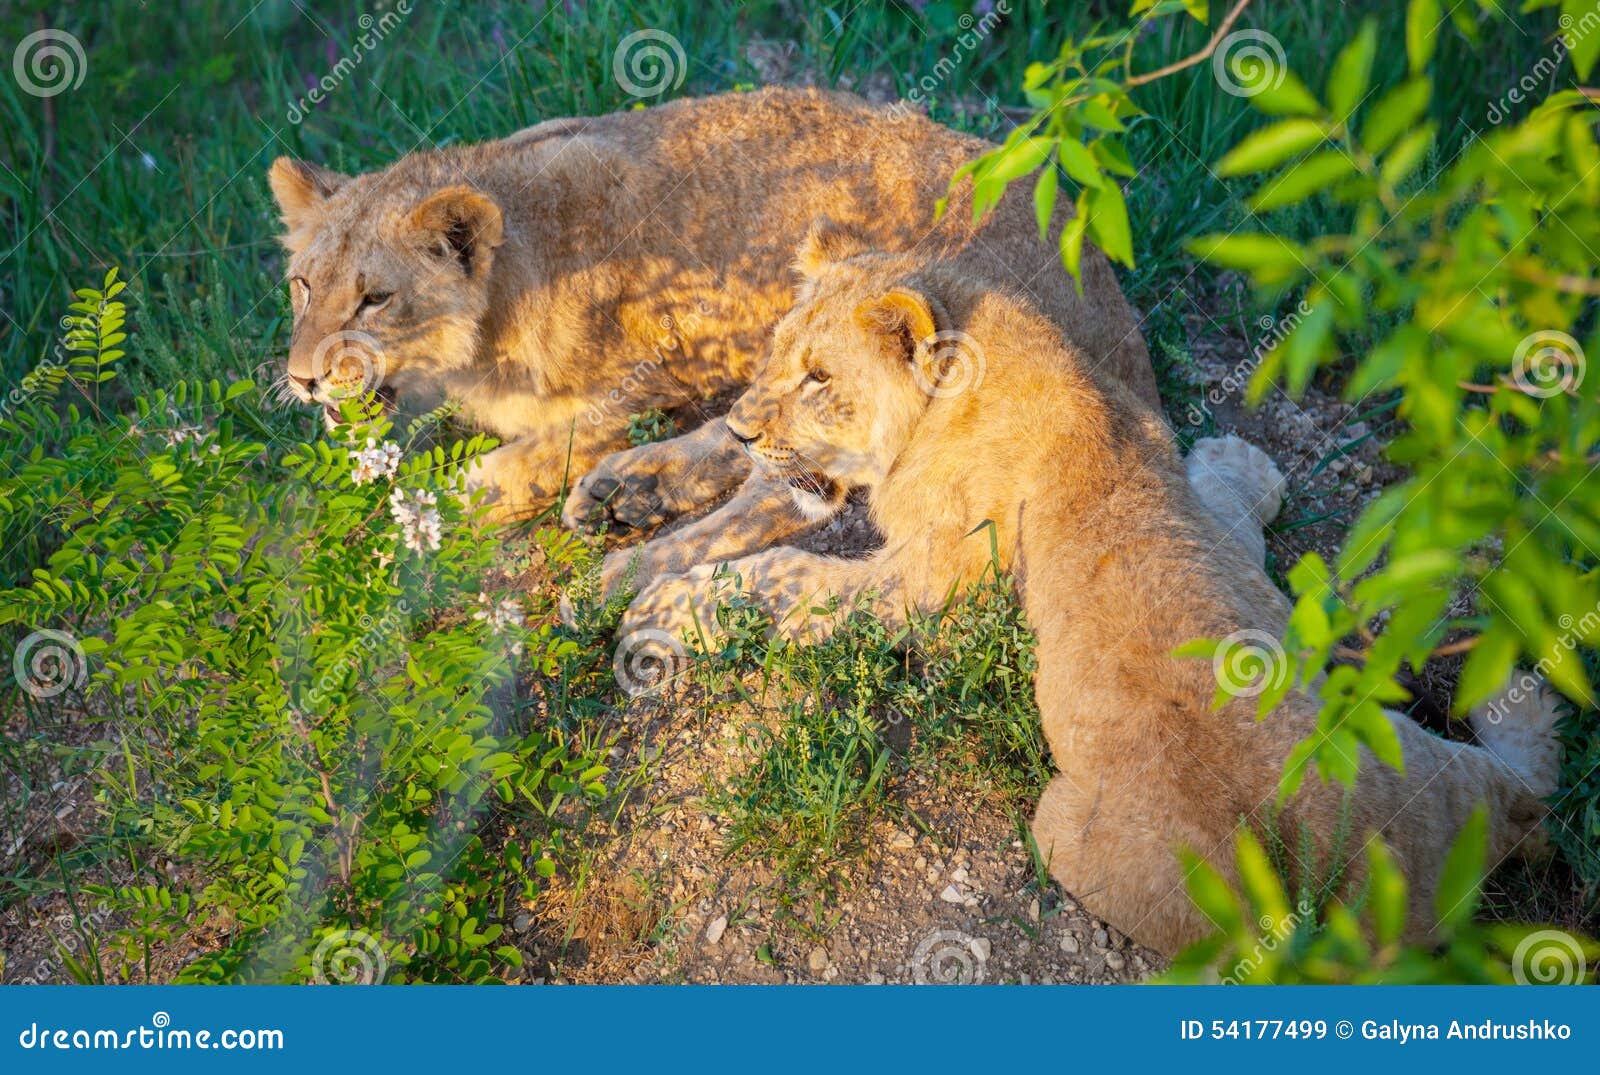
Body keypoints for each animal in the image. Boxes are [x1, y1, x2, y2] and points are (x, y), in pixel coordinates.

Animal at [267, 87, 1157, 559]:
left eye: (374, 299)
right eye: (303, 287)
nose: (304, 380)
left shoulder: (636, 386)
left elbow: (512, 466)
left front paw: (417, 524)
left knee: (793, 490)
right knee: (745, 437)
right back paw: (629, 493)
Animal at [616, 239, 1561, 957]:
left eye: (818, 377)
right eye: (774, 354)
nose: (738, 430)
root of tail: (1310, 905)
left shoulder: (929, 584)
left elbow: (783, 575)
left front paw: (658, 613)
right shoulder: (1186, 502)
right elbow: (1225, 505)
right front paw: (1248, 465)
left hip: (1060, 822)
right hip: (1417, 762)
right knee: (1527, 790)